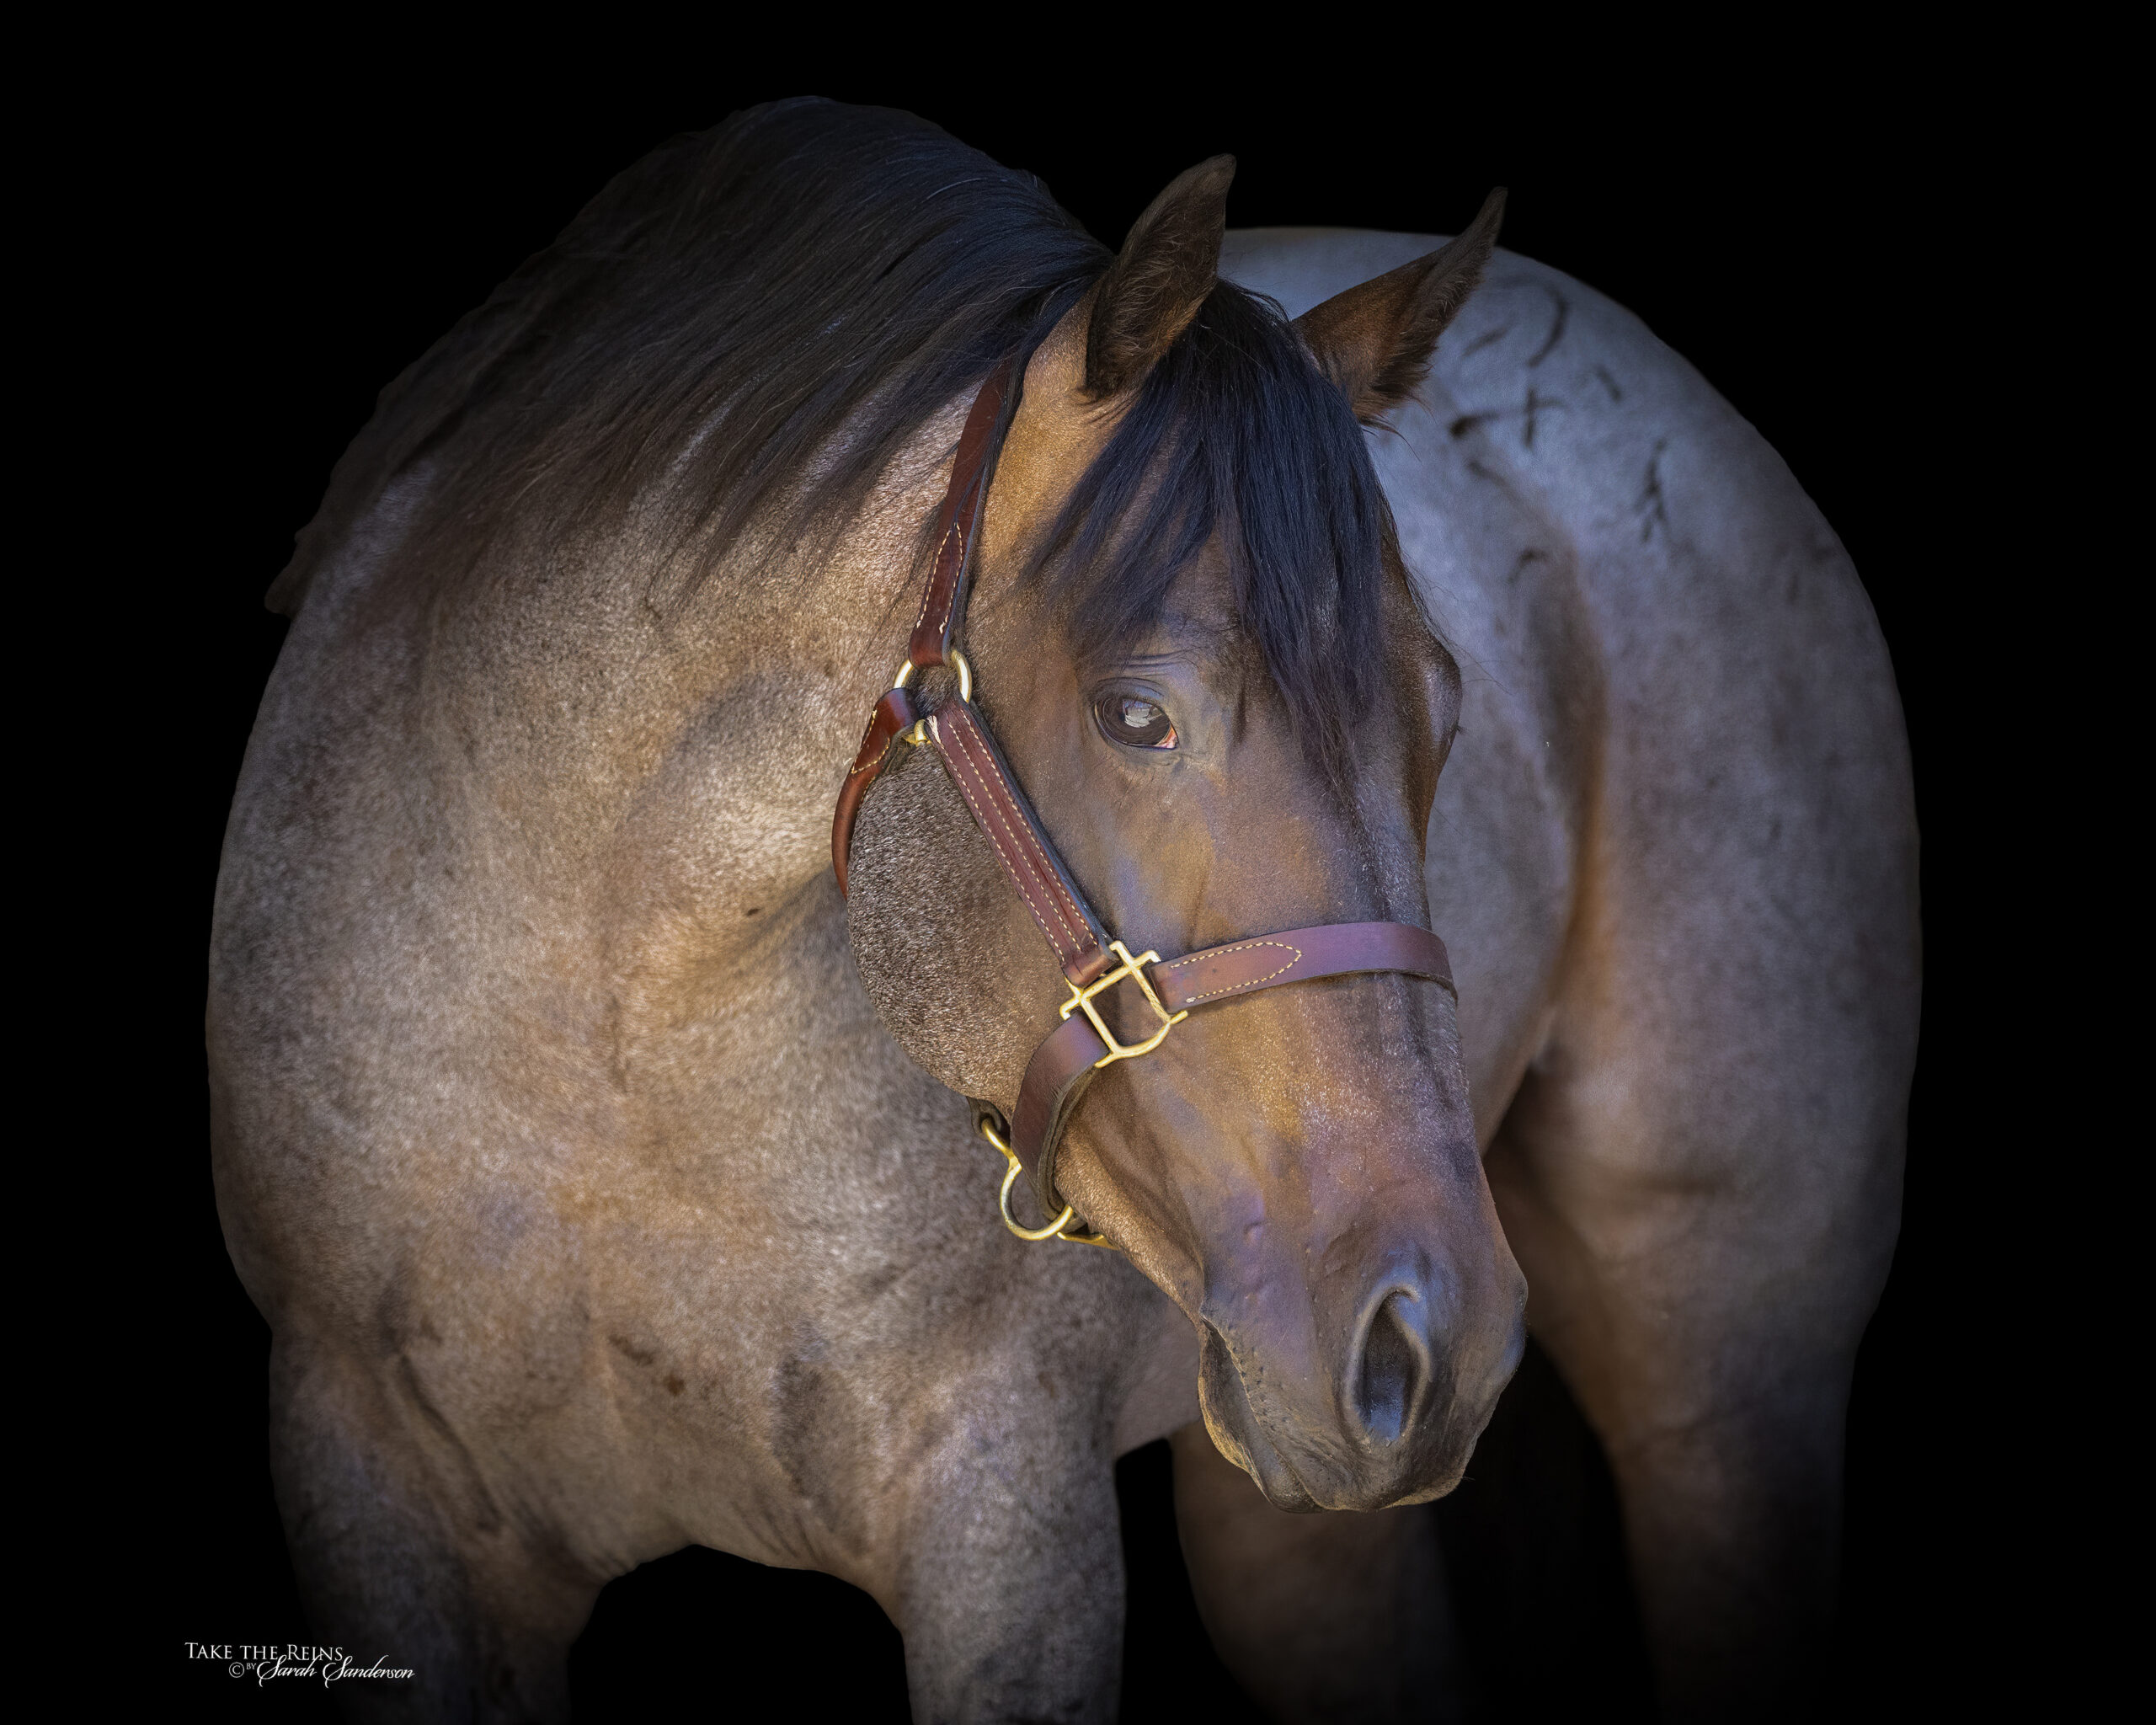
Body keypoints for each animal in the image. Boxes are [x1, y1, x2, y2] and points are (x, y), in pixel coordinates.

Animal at [209, 100, 1917, 1722]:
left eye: (1443, 718)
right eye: (1139, 715)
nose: (1440, 1340)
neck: (599, 1065)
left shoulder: (1006, 1530)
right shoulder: (372, 1502)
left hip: (1721, 1385)